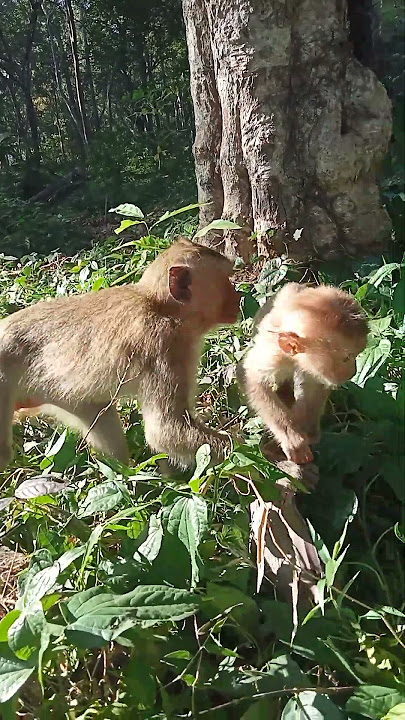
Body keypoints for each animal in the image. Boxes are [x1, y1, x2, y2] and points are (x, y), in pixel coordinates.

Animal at [238, 283, 368, 468]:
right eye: (346, 358)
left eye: (356, 355)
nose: (354, 371)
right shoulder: (274, 352)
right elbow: (249, 376)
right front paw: (292, 440)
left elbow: (315, 385)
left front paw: (305, 428)